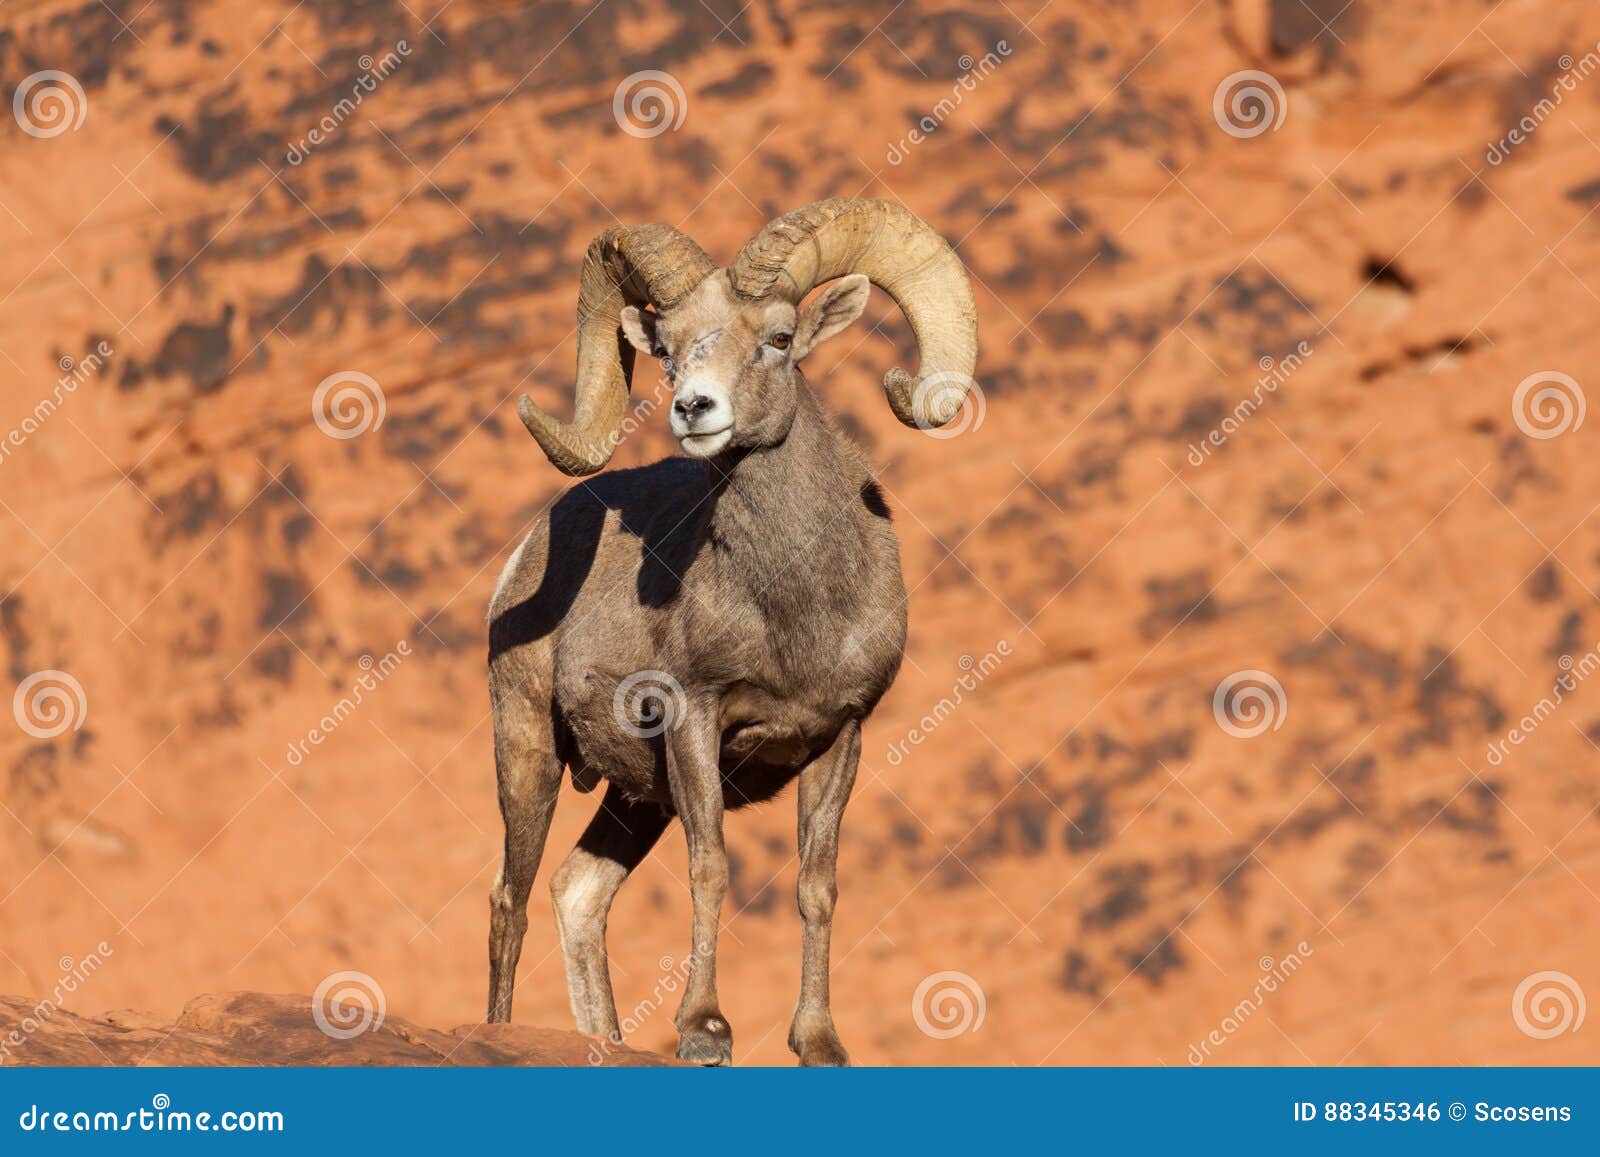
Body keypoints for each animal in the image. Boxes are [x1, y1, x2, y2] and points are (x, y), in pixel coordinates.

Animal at [486, 198, 978, 1066]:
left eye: (779, 338)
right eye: (670, 350)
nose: (694, 410)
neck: (797, 608)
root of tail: (527, 551)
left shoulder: (838, 737)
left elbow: (817, 883)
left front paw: (818, 1041)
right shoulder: (697, 720)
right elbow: (711, 867)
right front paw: (704, 1030)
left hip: (632, 799)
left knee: (577, 891)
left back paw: (607, 1040)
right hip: (528, 748)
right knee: (509, 899)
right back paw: (503, 1030)